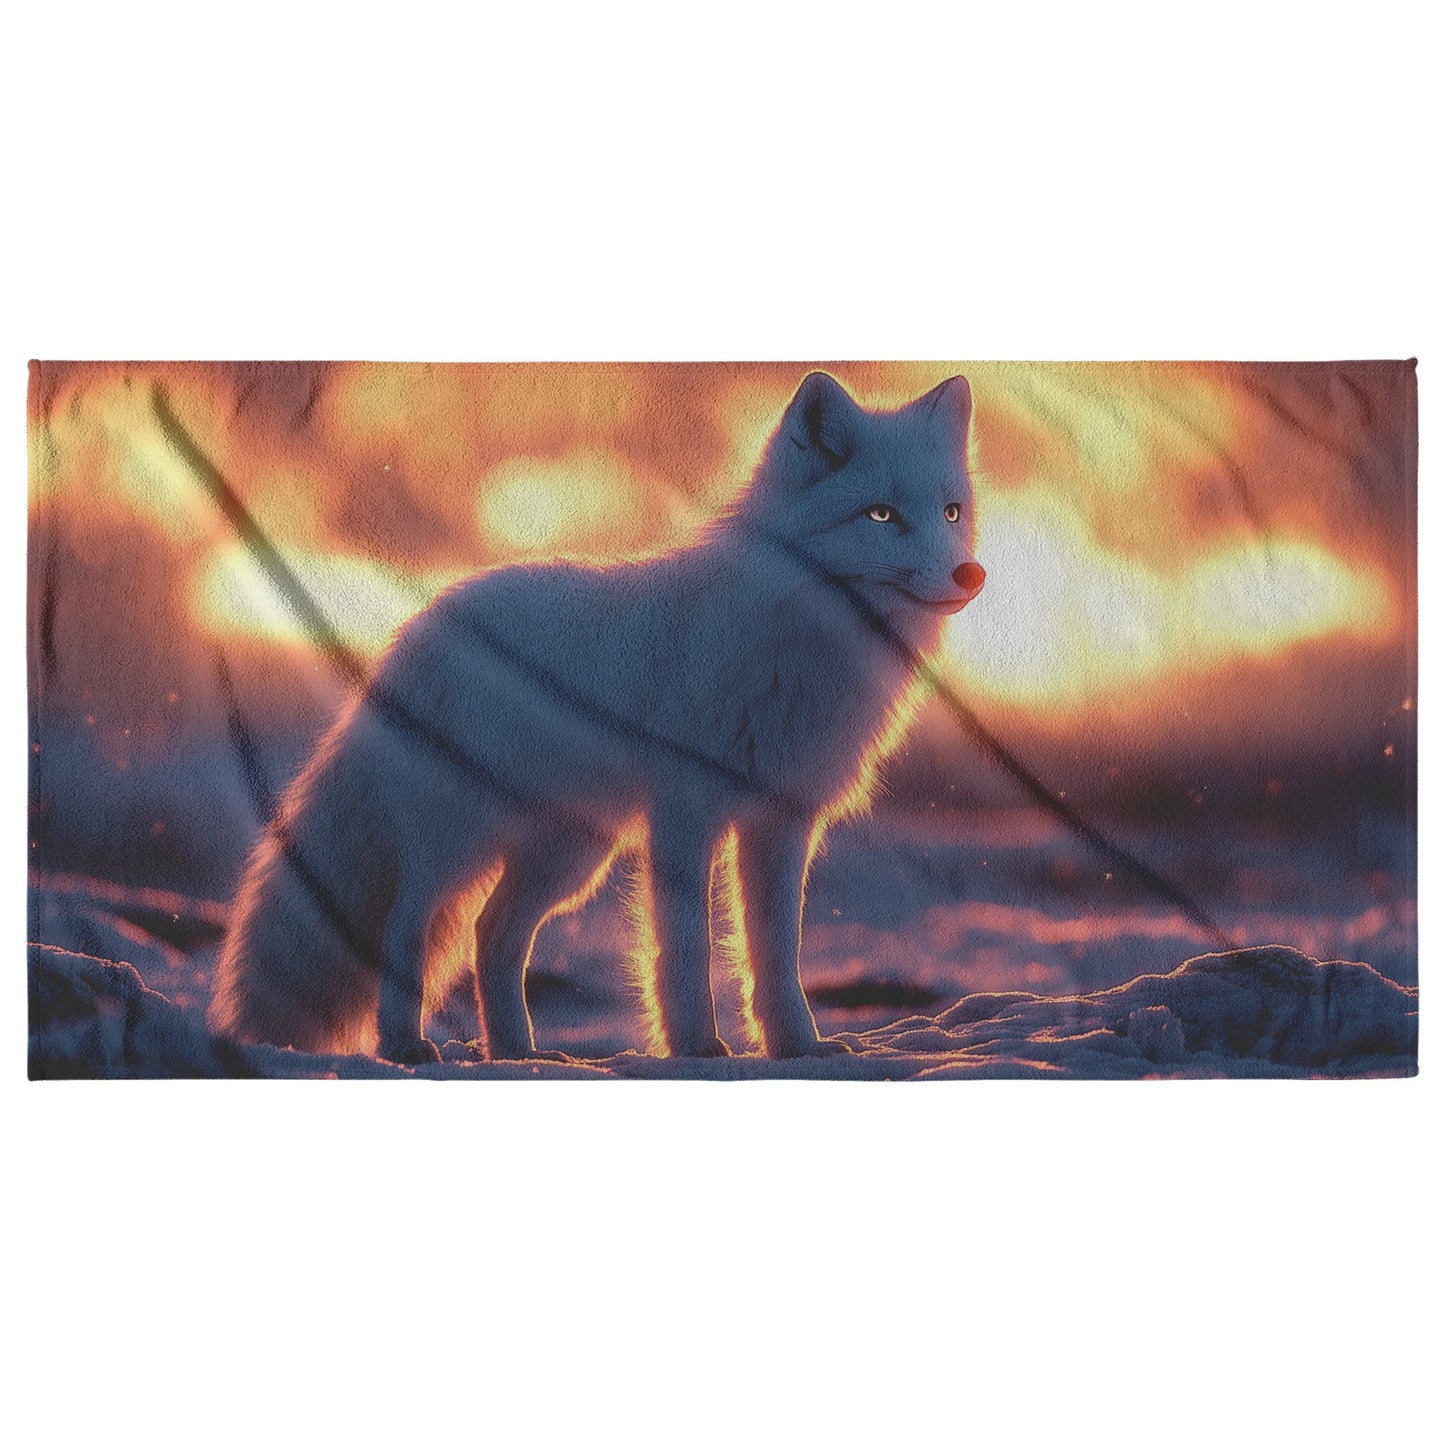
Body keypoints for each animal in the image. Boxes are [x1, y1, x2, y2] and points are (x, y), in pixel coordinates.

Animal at [208, 371, 987, 1065]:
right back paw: (405, 1045)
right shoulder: (685, 812)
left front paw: (798, 1046)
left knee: (493, 935)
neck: (793, 637)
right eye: (881, 515)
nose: (971, 575)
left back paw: (519, 1053)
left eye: (951, 512)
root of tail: (414, 632)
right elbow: (685, 945)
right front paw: (695, 1046)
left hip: (570, 854)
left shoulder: (783, 821)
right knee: (406, 931)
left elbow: (775, 951)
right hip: (458, 843)